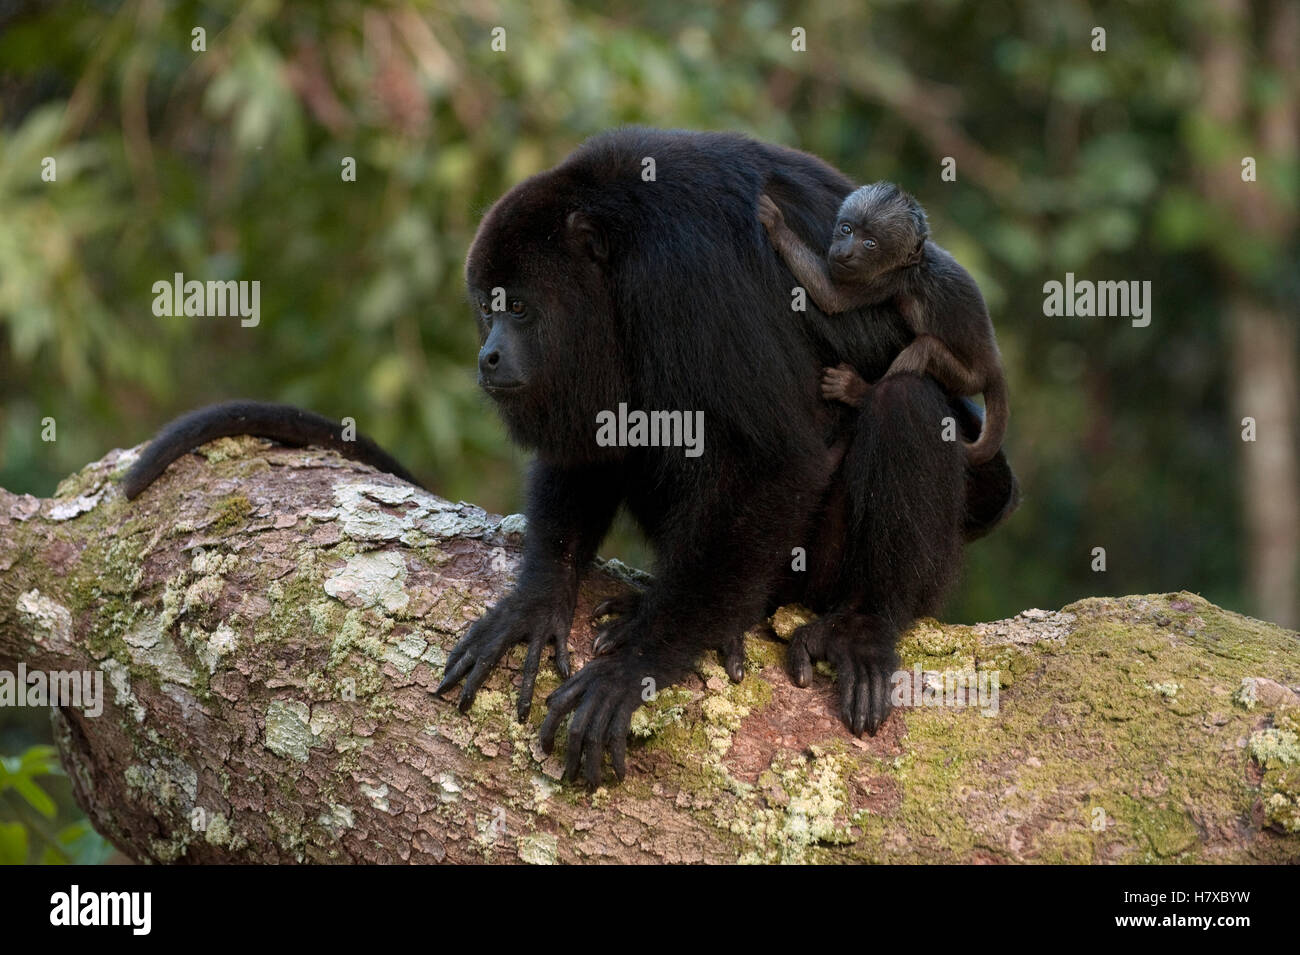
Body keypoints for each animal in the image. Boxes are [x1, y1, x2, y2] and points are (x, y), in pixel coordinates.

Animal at [757, 182, 1008, 465]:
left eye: (870, 244)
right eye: (847, 229)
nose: (845, 252)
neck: (914, 260)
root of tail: (994, 362)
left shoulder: (888, 279)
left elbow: (832, 298)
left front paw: (777, 226)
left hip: (968, 378)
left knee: (924, 349)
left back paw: (857, 391)